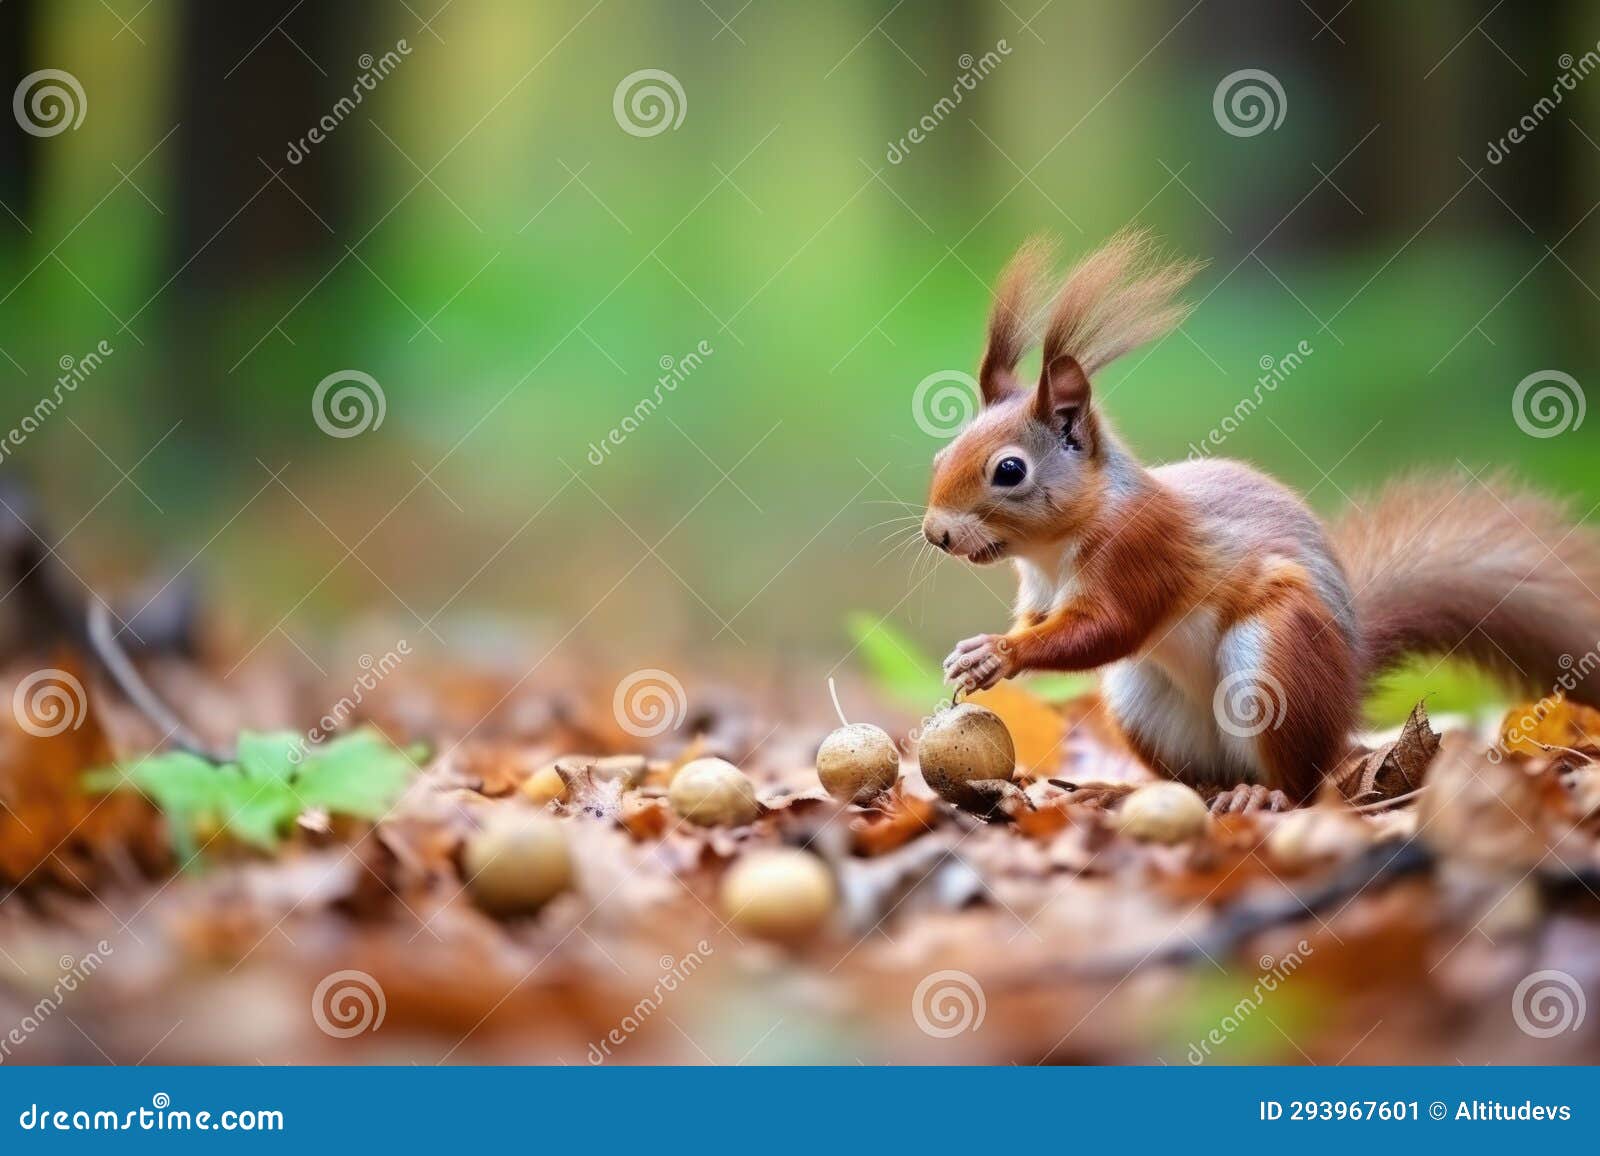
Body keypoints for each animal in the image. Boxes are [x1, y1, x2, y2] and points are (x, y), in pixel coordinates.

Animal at [924, 231, 1600, 811]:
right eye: (941, 454)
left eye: (1009, 470)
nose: (937, 533)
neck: (1056, 546)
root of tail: (1342, 697)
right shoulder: (1040, 591)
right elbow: (1043, 621)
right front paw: (972, 653)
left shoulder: (1141, 554)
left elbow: (1106, 629)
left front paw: (1000, 652)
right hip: (1144, 701)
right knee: (1200, 777)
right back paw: (1138, 790)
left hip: (1276, 657)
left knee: (1300, 783)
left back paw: (1260, 796)